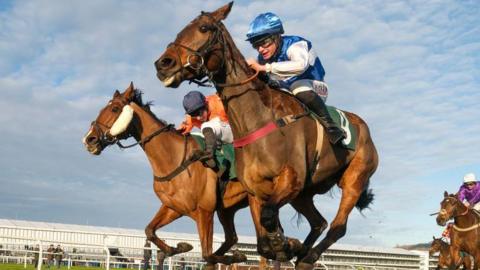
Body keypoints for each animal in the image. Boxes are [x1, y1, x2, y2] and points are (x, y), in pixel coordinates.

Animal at [81, 83, 248, 266]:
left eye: (115, 109)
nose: (89, 139)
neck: (174, 158)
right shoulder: (173, 207)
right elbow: (149, 230)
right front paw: (179, 247)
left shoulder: (204, 210)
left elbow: (207, 254)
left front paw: (237, 256)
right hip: (226, 210)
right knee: (231, 238)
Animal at [154, 2, 378, 268]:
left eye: (204, 28)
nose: (163, 64)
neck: (257, 119)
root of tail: (363, 125)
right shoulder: (256, 191)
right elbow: (263, 240)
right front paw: (284, 245)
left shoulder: (290, 180)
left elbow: (270, 219)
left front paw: (286, 244)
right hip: (303, 195)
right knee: (318, 222)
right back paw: (302, 251)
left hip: (354, 179)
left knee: (337, 226)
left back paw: (308, 255)